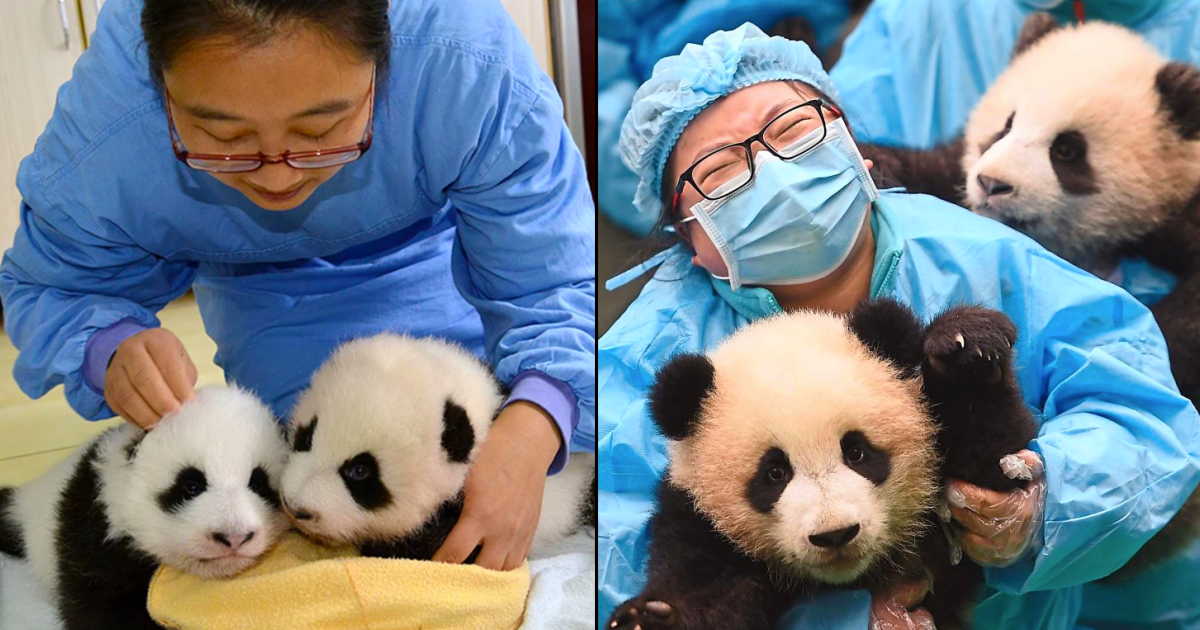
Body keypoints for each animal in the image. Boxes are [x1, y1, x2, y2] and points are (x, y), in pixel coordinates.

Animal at [606, 299, 1038, 630]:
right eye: (774, 473)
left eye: (856, 452)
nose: (835, 534)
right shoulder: (700, 524)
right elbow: (704, 592)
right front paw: (647, 621)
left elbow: (992, 462)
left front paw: (965, 348)